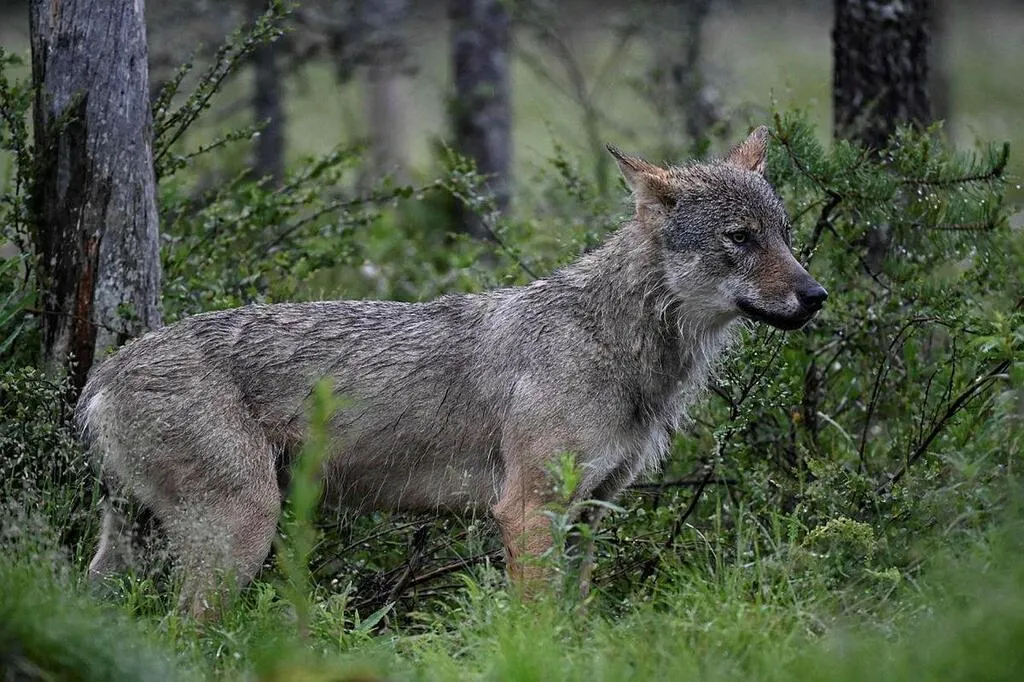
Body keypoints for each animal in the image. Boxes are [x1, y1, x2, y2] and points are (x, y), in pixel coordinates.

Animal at [77, 126, 826, 617]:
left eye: (786, 235)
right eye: (740, 239)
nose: (816, 295)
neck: (617, 345)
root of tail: (102, 375)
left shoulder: (591, 514)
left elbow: (580, 623)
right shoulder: (528, 510)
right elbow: (539, 625)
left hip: (139, 548)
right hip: (242, 531)